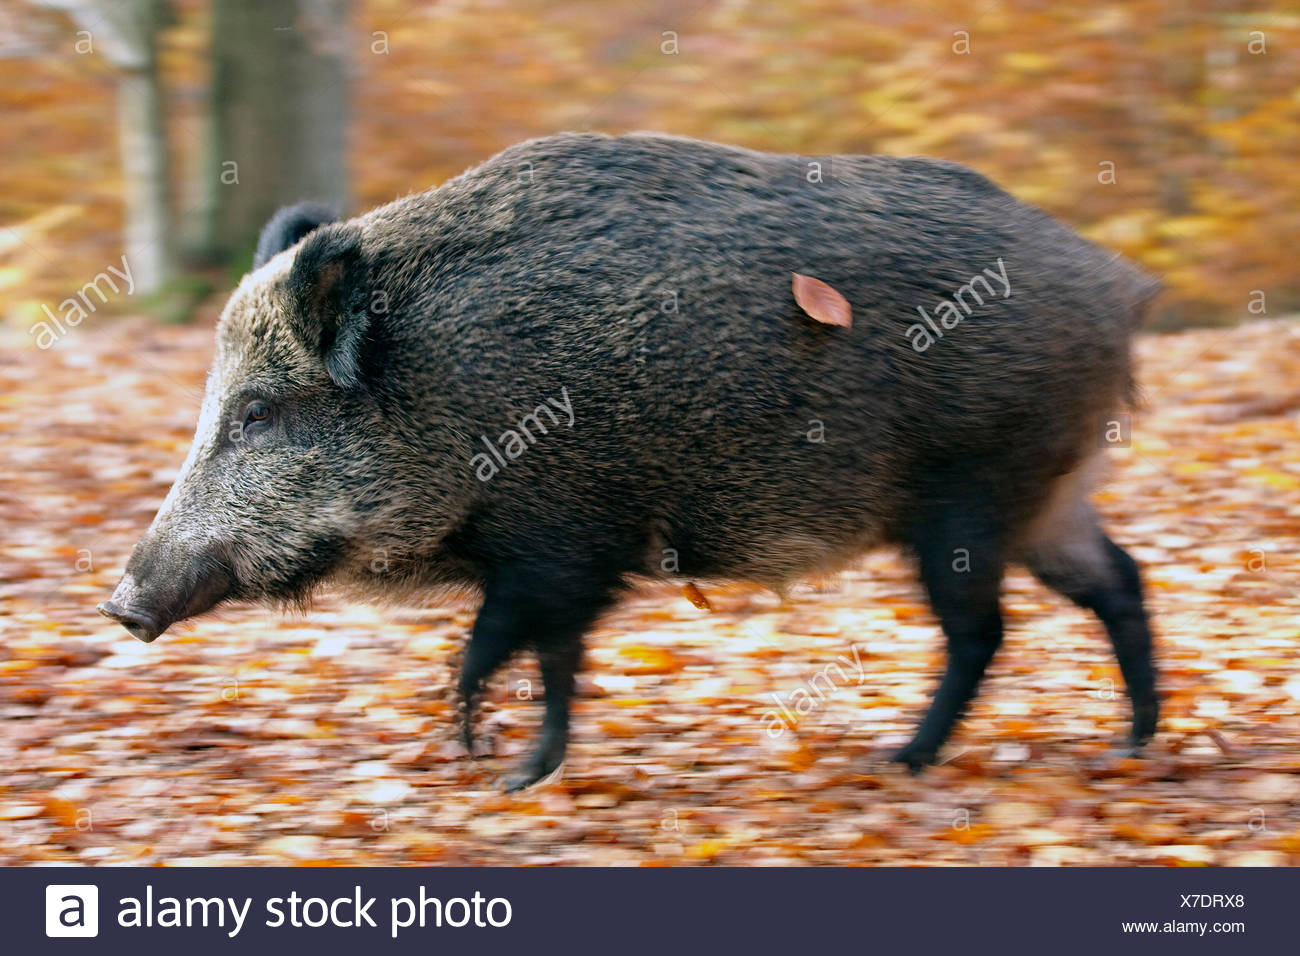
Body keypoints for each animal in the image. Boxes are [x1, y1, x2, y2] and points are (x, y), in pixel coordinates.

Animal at [100, 132, 1161, 790]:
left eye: (259, 412)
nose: (120, 605)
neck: (448, 389)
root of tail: (1119, 284)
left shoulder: (565, 536)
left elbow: (501, 645)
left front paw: (480, 752)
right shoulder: (553, 554)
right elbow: (554, 658)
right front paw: (520, 770)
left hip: (968, 498)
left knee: (984, 628)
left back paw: (901, 760)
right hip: (1042, 497)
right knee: (1119, 581)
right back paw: (1134, 742)